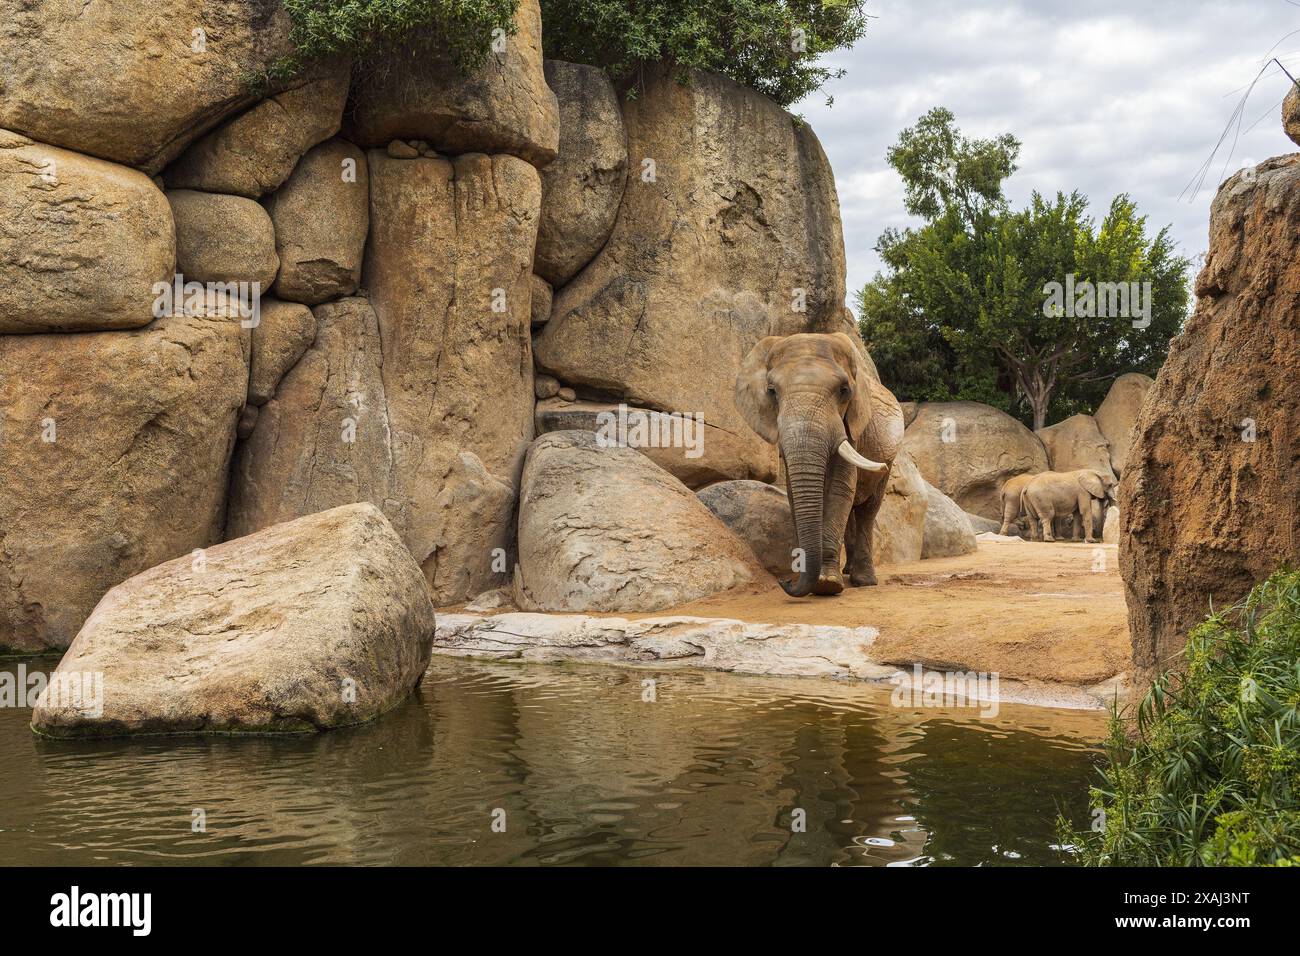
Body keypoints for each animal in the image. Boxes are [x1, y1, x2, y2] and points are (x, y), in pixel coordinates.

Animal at [735, 332, 905, 597]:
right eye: (771, 391)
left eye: (844, 390)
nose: (784, 582)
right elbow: (795, 493)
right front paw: (818, 579)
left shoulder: (851, 428)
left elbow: (839, 489)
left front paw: (827, 584)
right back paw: (848, 571)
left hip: (886, 460)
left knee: (867, 509)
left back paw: (863, 580)